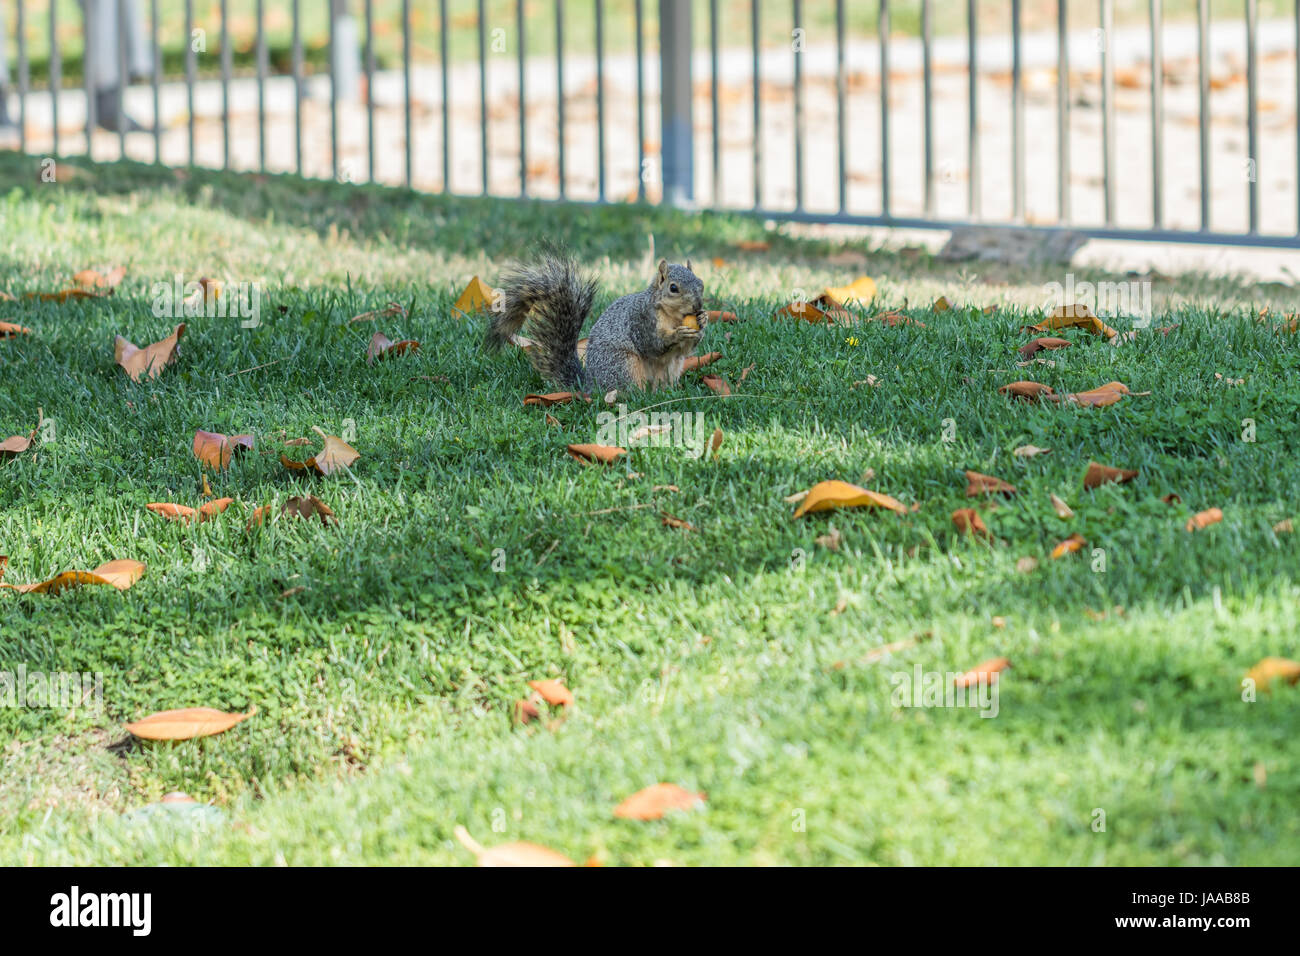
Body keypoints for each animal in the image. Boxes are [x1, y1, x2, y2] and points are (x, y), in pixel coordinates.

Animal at [485, 250, 706, 391]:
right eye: (673, 288)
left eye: (701, 283)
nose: (697, 306)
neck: (672, 316)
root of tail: (592, 386)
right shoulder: (641, 319)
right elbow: (651, 344)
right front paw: (678, 334)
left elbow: (685, 350)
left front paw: (703, 321)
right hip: (623, 365)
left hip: (672, 368)